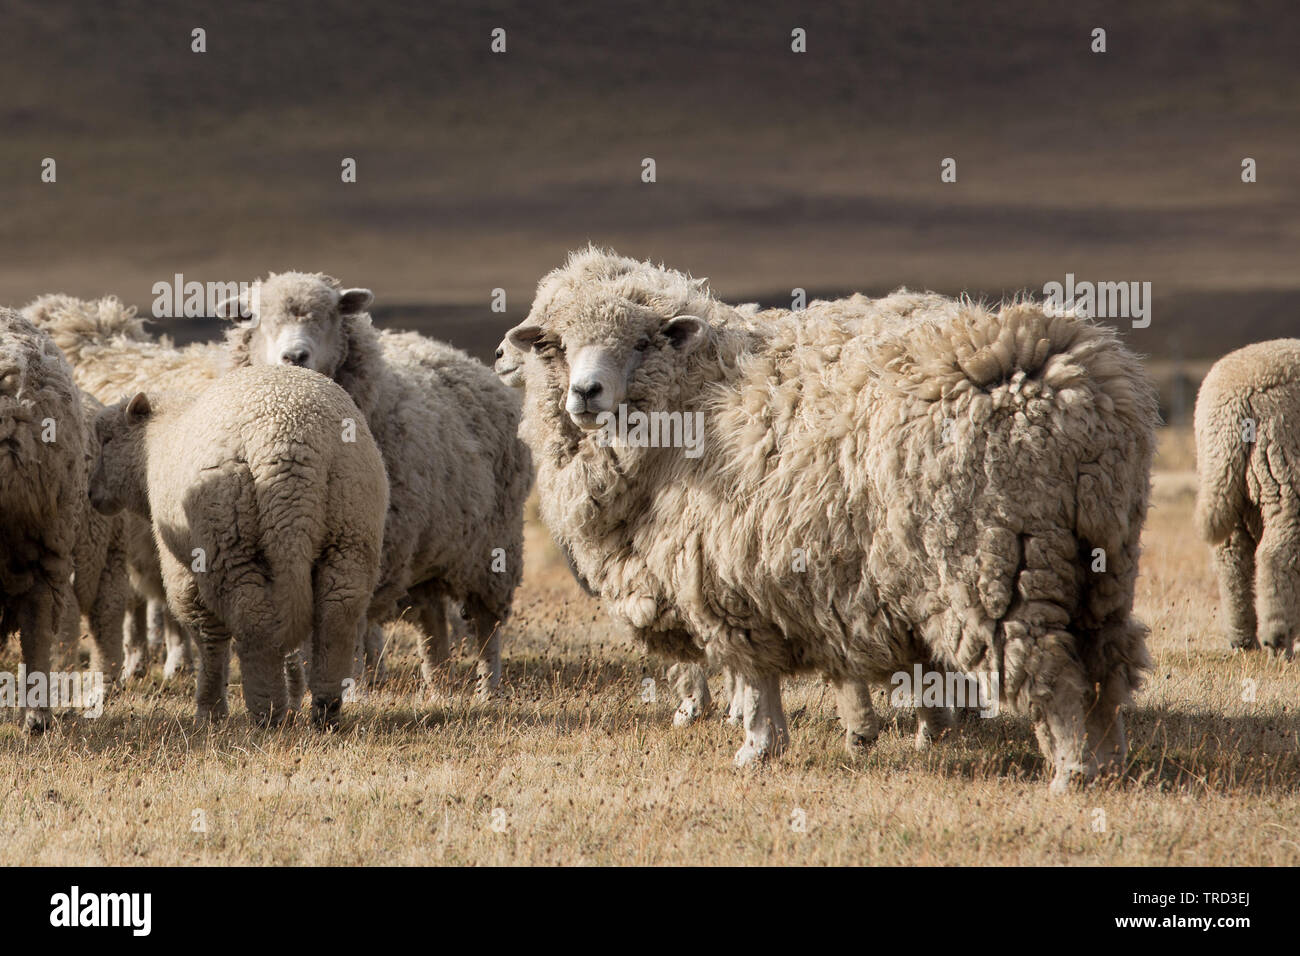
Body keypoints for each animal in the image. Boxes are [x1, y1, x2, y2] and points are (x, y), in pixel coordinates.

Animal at [87, 365, 388, 726]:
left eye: (107, 439)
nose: (91, 494)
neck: (156, 443)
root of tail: (292, 441)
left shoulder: (182, 566)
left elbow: (207, 633)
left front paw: (209, 709)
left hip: (229, 538)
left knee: (254, 619)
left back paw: (266, 712)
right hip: (350, 526)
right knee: (337, 613)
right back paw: (324, 708)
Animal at [220, 272, 532, 700]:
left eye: (331, 314)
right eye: (255, 317)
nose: (295, 356)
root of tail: (451, 352)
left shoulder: (368, 542)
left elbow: (344, 623)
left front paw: (348, 688)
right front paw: (295, 690)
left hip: (492, 545)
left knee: (486, 624)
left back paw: (489, 688)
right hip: (429, 548)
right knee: (433, 620)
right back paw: (438, 684)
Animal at [507, 249, 1157, 790]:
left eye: (643, 342)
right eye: (555, 345)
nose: (585, 393)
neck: (692, 394)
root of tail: (1072, 388)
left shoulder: (720, 571)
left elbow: (752, 673)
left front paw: (757, 749)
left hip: (999, 560)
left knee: (1049, 669)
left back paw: (1070, 773)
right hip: (1098, 559)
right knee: (1107, 664)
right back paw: (1106, 761)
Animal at [1194, 339, 1300, 659]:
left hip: (1228, 482)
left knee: (1231, 558)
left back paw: (1242, 640)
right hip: (1282, 469)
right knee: (1276, 552)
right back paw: (1277, 639)